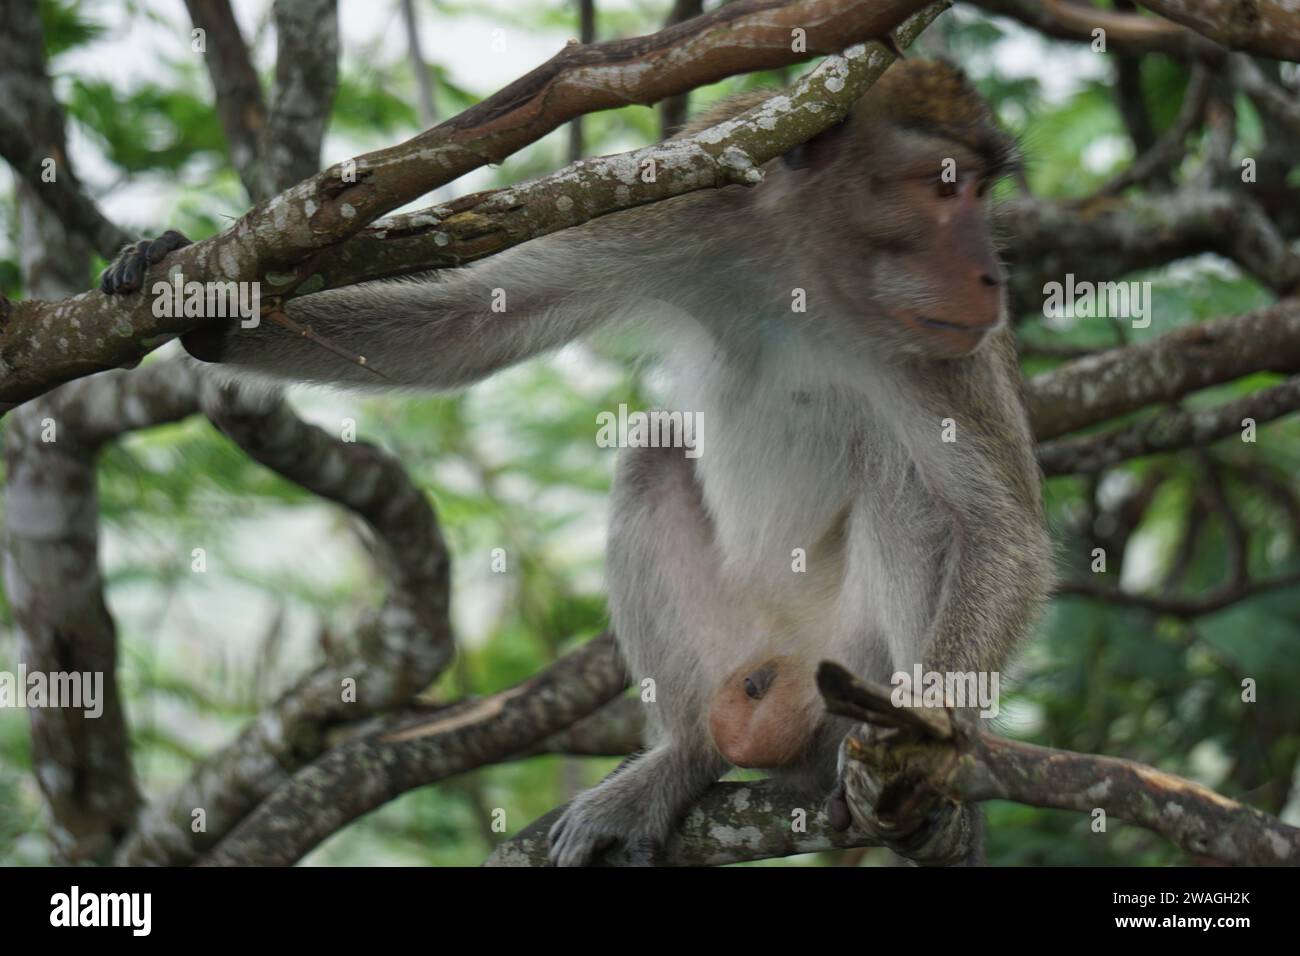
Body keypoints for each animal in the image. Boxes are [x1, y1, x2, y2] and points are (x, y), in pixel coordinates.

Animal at [101, 59, 1054, 866]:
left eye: (982, 189)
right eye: (944, 185)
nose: (992, 277)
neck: (810, 261)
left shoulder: (947, 350)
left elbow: (1002, 530)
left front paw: (921, 755)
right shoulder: (681, 207)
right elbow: (479, 321)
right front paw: (211, 309)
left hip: (847, 671)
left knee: (914, 493)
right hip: (743, 655)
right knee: (654, 458)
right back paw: (683, 760)